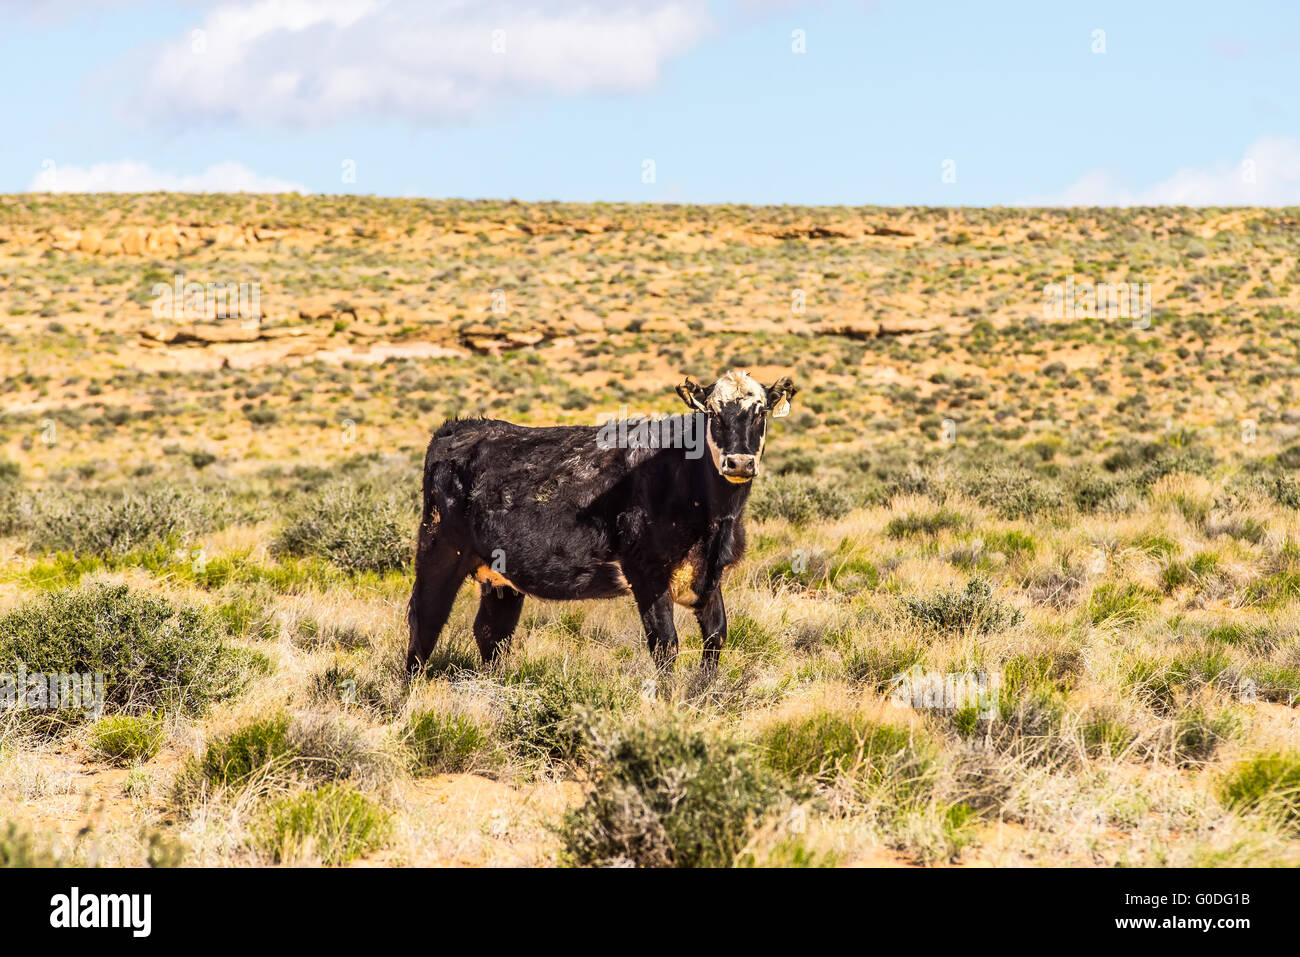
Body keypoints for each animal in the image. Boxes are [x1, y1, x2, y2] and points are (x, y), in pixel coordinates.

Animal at [405, 369, 798, 675]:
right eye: (713, 413)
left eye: (760, 412)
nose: (739, 463)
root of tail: (463, 427)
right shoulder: (646, 572)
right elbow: (665, 645)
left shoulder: (708, 576)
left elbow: (716, 637)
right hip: (439, 550)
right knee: (425, 622)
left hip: (501, 576)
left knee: (491, 634)